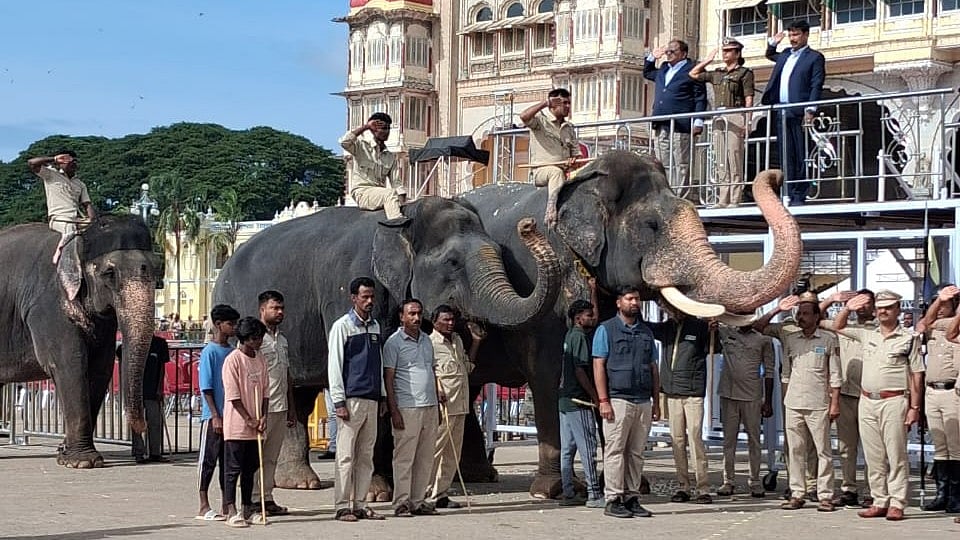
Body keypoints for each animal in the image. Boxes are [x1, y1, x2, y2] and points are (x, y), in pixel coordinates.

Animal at [0, 215, 157, 468]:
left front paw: (65, 455)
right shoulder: (48, 308)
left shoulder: (105, 323)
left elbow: (100, 369)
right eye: (109, 273)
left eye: (159, 269)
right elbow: (70, 366)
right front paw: (83, 462)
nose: (143, 426)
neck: (78, 238)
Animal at [213, 195, 560, 491]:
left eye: (501, 255)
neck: (402, 219)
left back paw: (297, 482)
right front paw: (378, 491)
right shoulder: (346, 287)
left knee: (297, 395)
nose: (528, 225)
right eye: (453, 262)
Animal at [457, 150, 801, 497]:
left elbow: (603, 373)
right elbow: (549, 375)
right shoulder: (539, 293)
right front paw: (550, 490)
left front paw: (633, 484)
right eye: (652, 225)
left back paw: (479, 475)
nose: (775, 174)